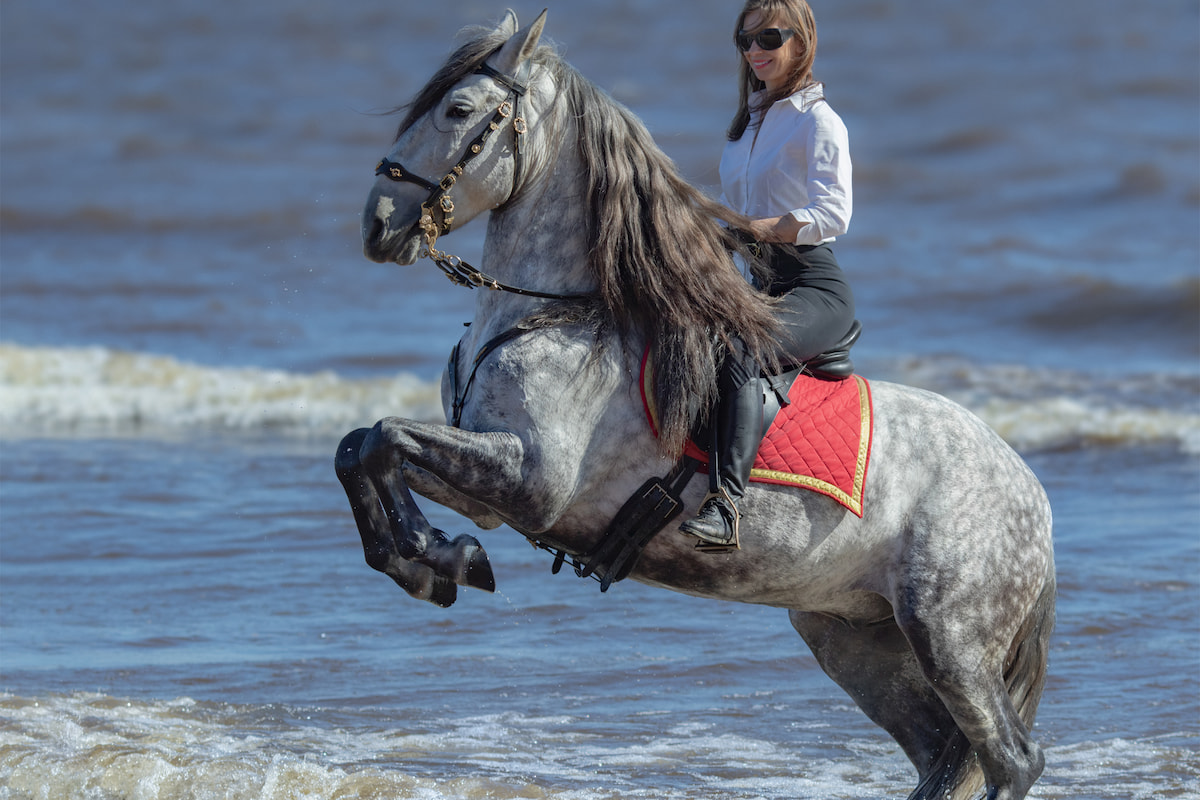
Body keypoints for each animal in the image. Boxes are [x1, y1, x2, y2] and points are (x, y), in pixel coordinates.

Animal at [336, 11, 1055, 800]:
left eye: (458, 110)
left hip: (951, 635)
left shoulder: (530, 481)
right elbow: (361, 447)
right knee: (940, 755)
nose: (377, 225)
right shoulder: (492, 484)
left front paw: (438, 555)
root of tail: (1030, 493)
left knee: (1012, 758)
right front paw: (430, 561)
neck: (553, 314)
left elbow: (385, 439)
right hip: (856, 637)